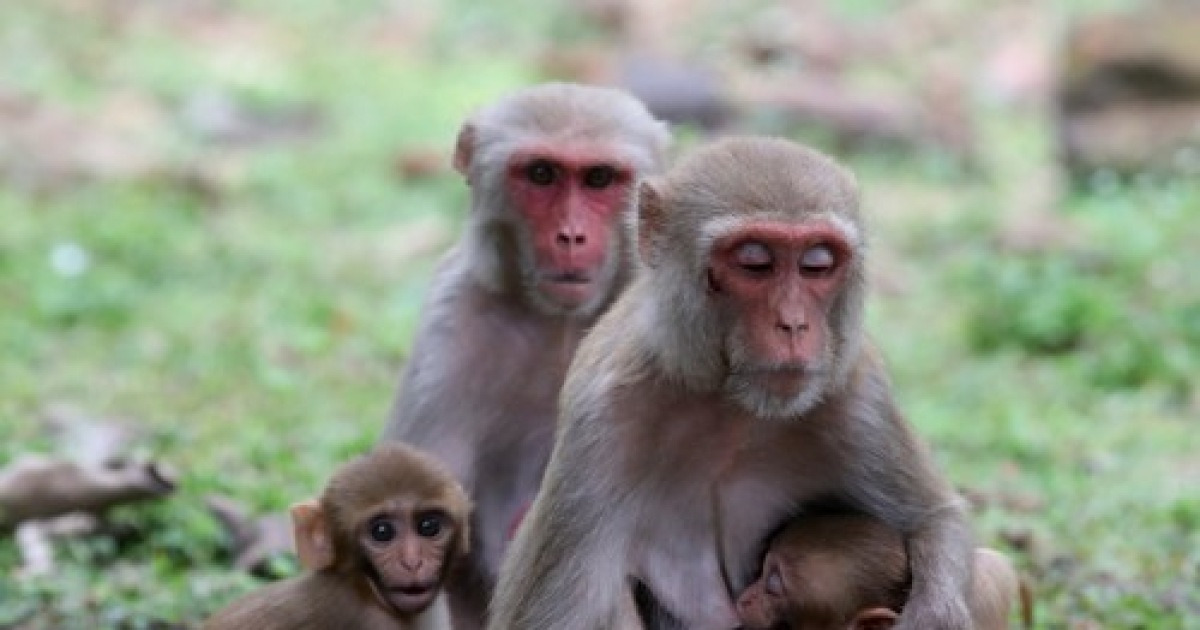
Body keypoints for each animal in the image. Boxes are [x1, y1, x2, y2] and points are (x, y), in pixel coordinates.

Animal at [488, 136, 974, 630]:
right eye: (753, 261)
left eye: (817, 263)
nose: (793, 324)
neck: (731, 401)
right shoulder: (600, 416)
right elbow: (557, 615)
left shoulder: (858, 396)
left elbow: (935, 519)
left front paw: (933, 612)